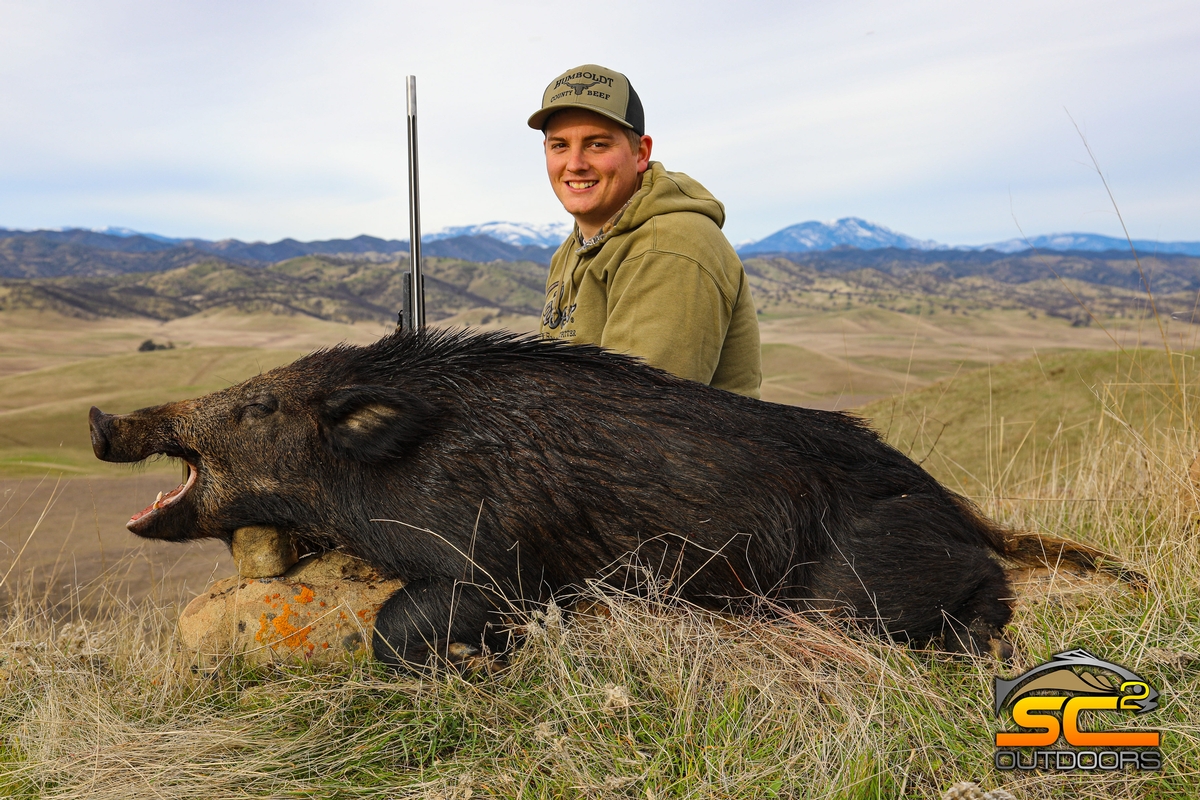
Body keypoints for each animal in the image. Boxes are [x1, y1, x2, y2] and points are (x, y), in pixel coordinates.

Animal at [88, 328, 1110, 667]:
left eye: (259, 405)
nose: (101, 416)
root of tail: (960, 509)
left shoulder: (495, 568)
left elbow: (392, 628)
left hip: (853, 589)